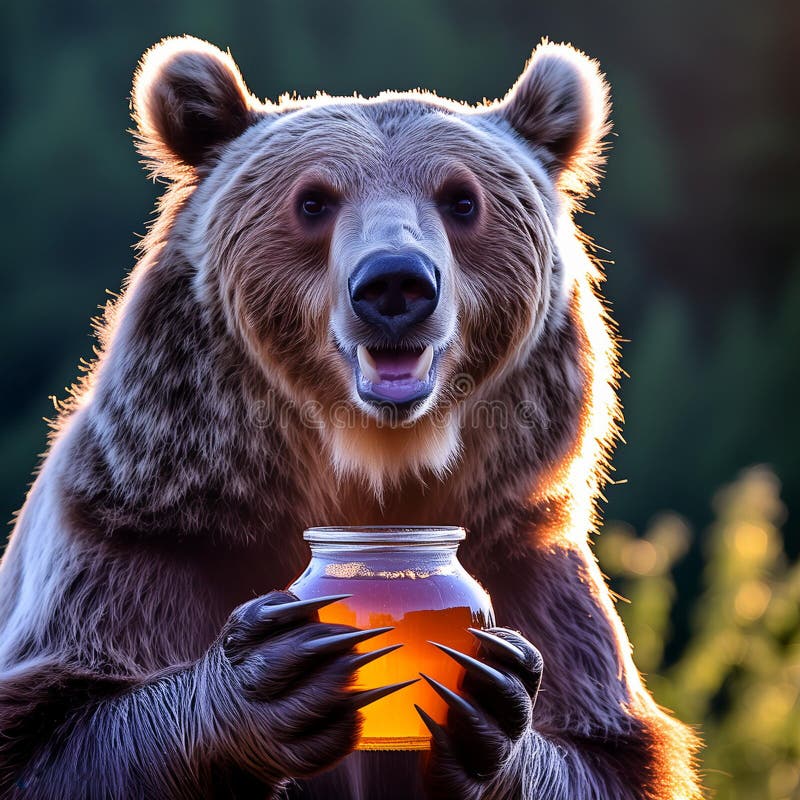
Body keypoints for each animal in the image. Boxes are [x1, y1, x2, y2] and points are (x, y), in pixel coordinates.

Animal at [0, 35, 702, 799]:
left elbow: (607, 751)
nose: (395, 282)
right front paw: (271, 680)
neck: (373, 480)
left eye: (462, 199)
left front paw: (487, 709)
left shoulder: (527, 555)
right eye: (312, 200)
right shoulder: (150, 534)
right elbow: (54, 728)